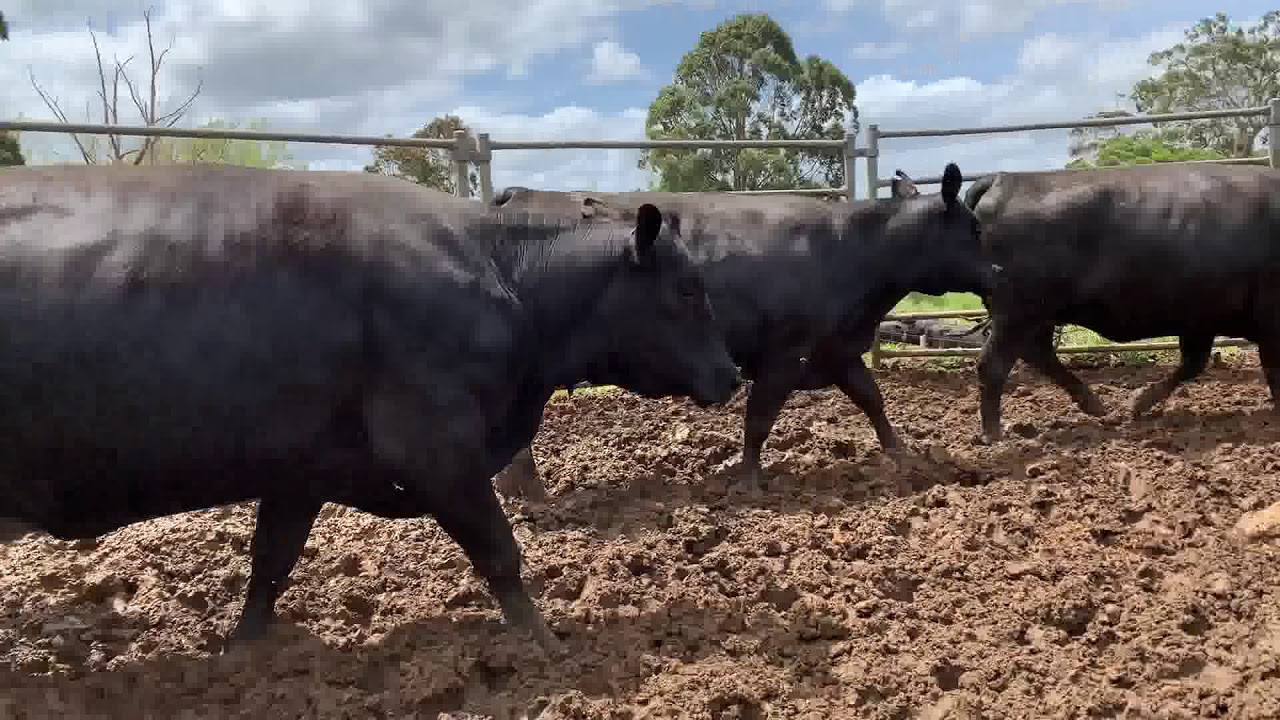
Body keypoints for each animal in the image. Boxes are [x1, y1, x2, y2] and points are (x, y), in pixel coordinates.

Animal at [0, 164, 741, 654]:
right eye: (686, 289)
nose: (731, 374)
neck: (501, 272)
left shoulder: (300, 468)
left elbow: (270, 564)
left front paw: (241, 657)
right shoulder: (437, 449)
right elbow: (500, 551)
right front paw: (545, 645)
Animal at [489, 164, 994, 499]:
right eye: (974, 227)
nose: (998, 272)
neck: (847, 247)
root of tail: (519, 193)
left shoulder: (837, 350)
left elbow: (872, 400)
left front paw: (904, 457)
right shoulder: (782, 358)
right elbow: (758, 420)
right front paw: (749, 483)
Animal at [965, 162, 1280, 442]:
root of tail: (1003, 179)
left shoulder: (1199, 321)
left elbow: (1193, 363)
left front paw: (1138, 403)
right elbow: (1270, 367)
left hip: (1035, 315)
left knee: (1037, 354)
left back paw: (1093, 404)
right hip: (1018, 313)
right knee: (994, 364)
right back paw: (993, 433)